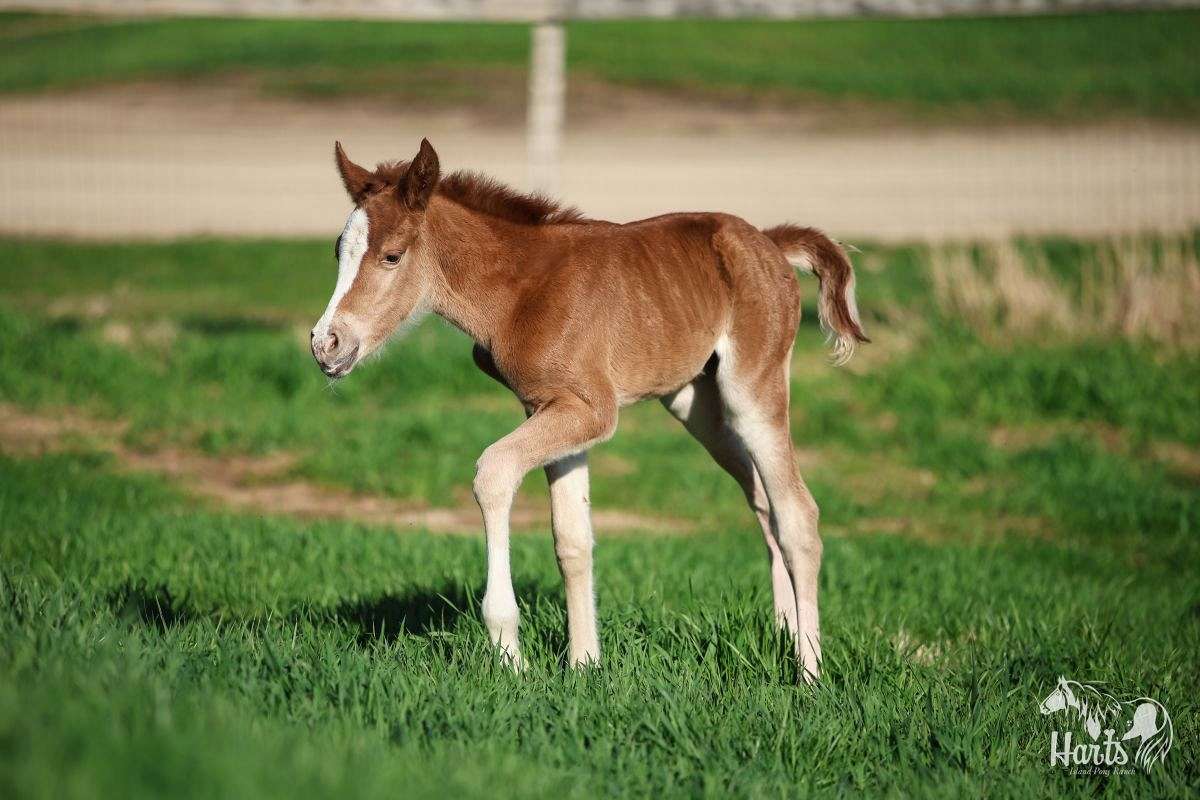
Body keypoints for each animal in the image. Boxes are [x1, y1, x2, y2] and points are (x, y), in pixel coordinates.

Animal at [309, 138, 868, 681]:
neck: (521, 292)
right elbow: (572, 540)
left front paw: (509, 654)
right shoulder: (551, 409)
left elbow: (493, 473)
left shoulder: (592, 412)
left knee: (798, 514)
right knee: (762, 501)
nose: (325, 343)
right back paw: (786, 635)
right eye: (338, 252)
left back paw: (809, 673)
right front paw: (584, 666)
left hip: (752, 390)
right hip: (696, 405)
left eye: (392, 256)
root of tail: (770, 241)